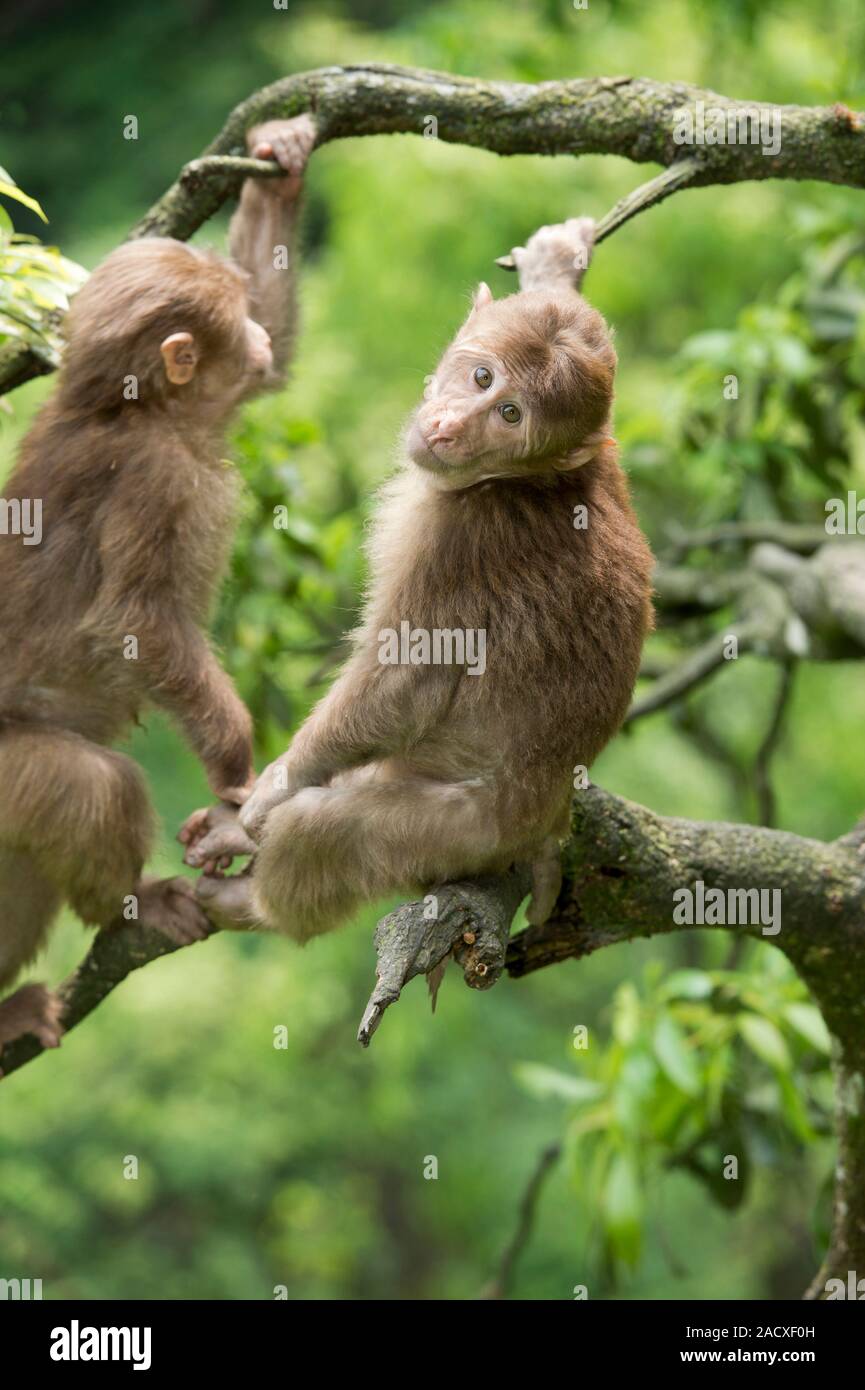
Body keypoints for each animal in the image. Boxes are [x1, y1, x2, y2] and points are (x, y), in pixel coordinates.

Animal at [0, 115, 316, 1052]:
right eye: (233, 321)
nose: (252, 335)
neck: (137, 412)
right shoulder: (153, 479)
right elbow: (135, 621)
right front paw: (235, 767)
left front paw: (282, 164)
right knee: (94, 788)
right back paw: (131, 906)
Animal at [183, 216, 655, 947]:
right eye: (482, 375)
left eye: (510, 414)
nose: (451, 426)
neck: (520, 479)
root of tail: (541, 824)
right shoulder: (604, 456)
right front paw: (556, 268)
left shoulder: (453, 539)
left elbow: (404, 680)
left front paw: (276, 786)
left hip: (457, 833)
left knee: (322, 826)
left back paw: (252, 902)